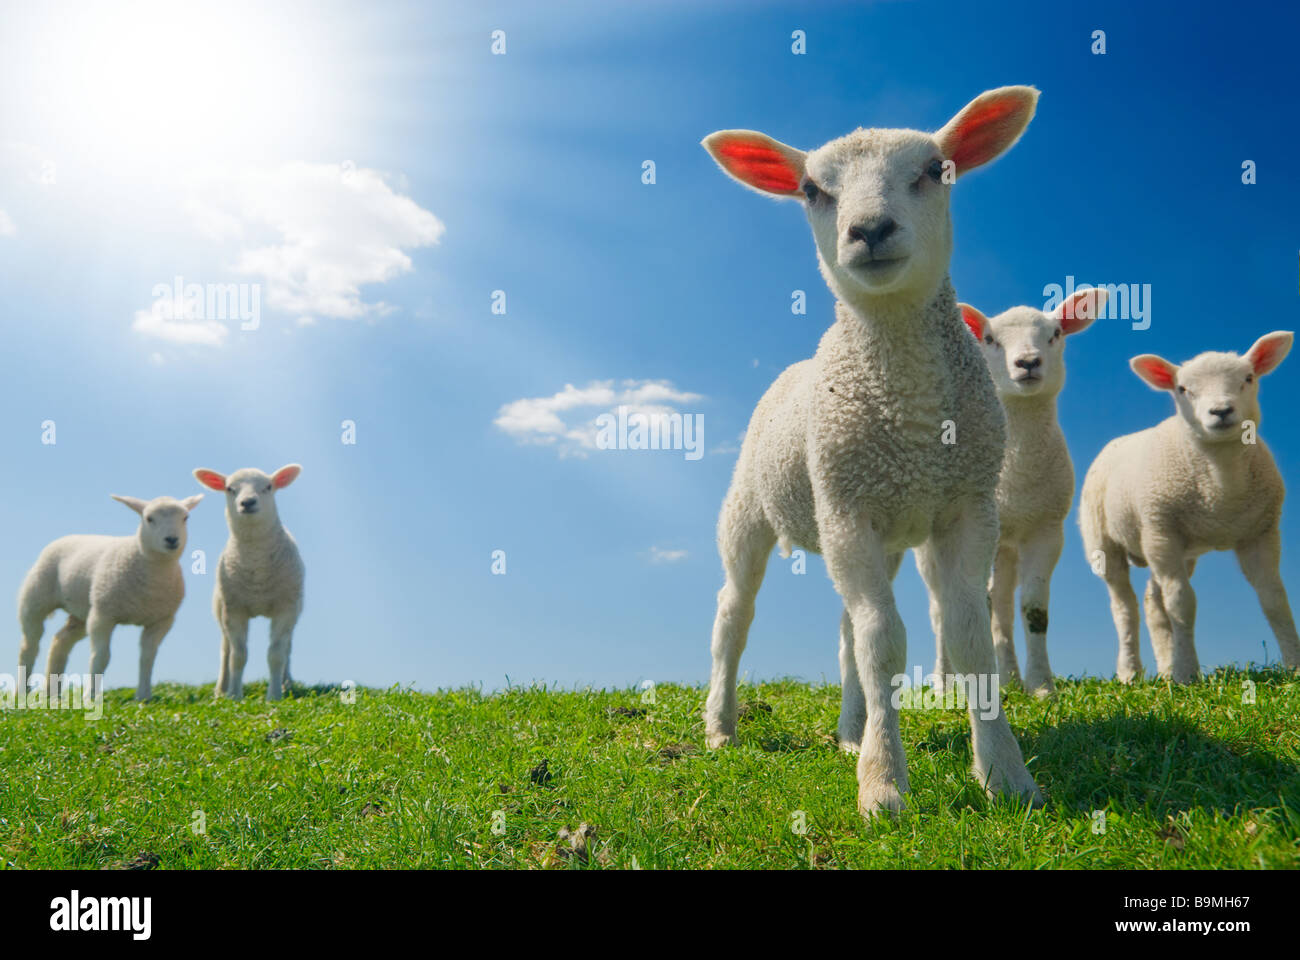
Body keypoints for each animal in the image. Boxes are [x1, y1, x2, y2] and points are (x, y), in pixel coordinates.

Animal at [17, 493, 204, 702]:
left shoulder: (161, 621)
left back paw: (52, 693)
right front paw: (90, 696)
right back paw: (22, 692)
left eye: (185, 518)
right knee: (29, 646)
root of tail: (69, 536)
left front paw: (143, 697)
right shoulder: (103, 616)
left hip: (82, 613)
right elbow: (101, 657)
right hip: (35, 599)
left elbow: (147, 658)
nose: (172, 539)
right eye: (149, 518)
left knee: (60, 641)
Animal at [192, 464, 304, 701]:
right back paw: (221, 689)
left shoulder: (286, 608)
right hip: (221, 610)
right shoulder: (234, 610)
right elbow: (238, 656)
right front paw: (235, 695)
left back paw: (287, 684)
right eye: (229, 488)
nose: (248, 502)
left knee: (288, 648)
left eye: (268, 487)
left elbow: (276, 654)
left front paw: (274, 696)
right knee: (225, 650)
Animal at [700, 86, 1043, 816]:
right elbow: (884, 642)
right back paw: (721, 727)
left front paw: (1005, 774)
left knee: (846, 629)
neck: (911, 417)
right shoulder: (847, 508)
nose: (871, 229)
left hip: (876, 529)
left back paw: (851, 731)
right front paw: (884, 786)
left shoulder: (968, 506)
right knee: (734, 615)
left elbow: (966, 639)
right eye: (810, 190)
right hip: (753, 510)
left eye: (936, 170)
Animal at [949, 289, 1106, 697]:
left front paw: (1041, 686)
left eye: (1055, 334)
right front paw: (991, 685)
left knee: (1003, 601)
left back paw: (1011, 677)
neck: (1015, 476)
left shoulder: (1047, 530)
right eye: (990, 339)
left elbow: (1033, 609)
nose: (1028, 362)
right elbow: (984, 604)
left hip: (1008, 548)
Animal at [1080, 331, 1299, 682]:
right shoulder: (1162, 531)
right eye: (1183, 389)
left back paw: (1165, 667)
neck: (1220, 489)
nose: (1220, 411)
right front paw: (1186, 673)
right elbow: (1182, 604)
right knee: (1124, 606)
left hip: (1172, 546)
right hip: (1105, 538)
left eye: (1248, 378)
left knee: (1153, 602)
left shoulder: (1261, 533)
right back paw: (1130, 672)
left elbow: (1274, 598)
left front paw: (1294, 665)